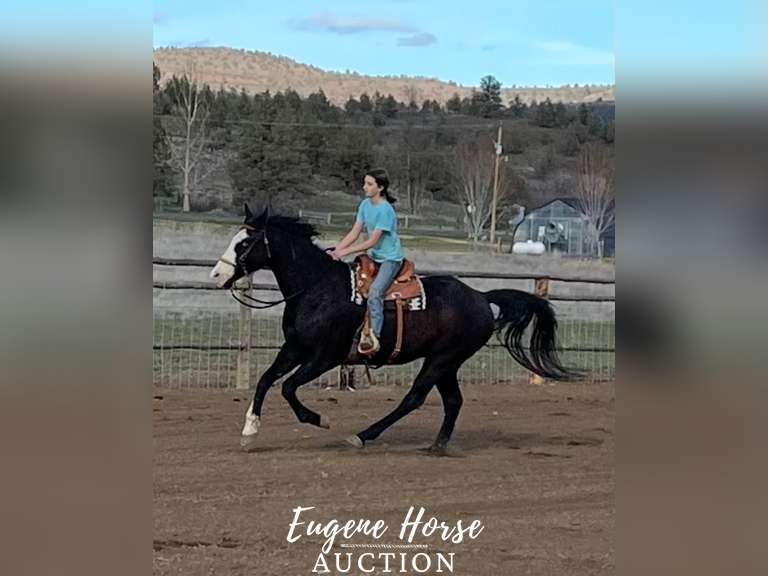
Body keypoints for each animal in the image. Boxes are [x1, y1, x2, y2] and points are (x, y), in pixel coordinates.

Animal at [210, 205, 577, 454]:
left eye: (244, 244)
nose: (216, 274)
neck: (317, 289)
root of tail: (481, 297)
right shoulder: (295, 348)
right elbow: (265, 380)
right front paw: (249, 432)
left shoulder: (325, 357)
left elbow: (287, 388)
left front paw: (319, 419)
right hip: (446, 363)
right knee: (452, 401)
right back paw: (437, 446)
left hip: (442, 359)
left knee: (414, 398)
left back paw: (363, 436)